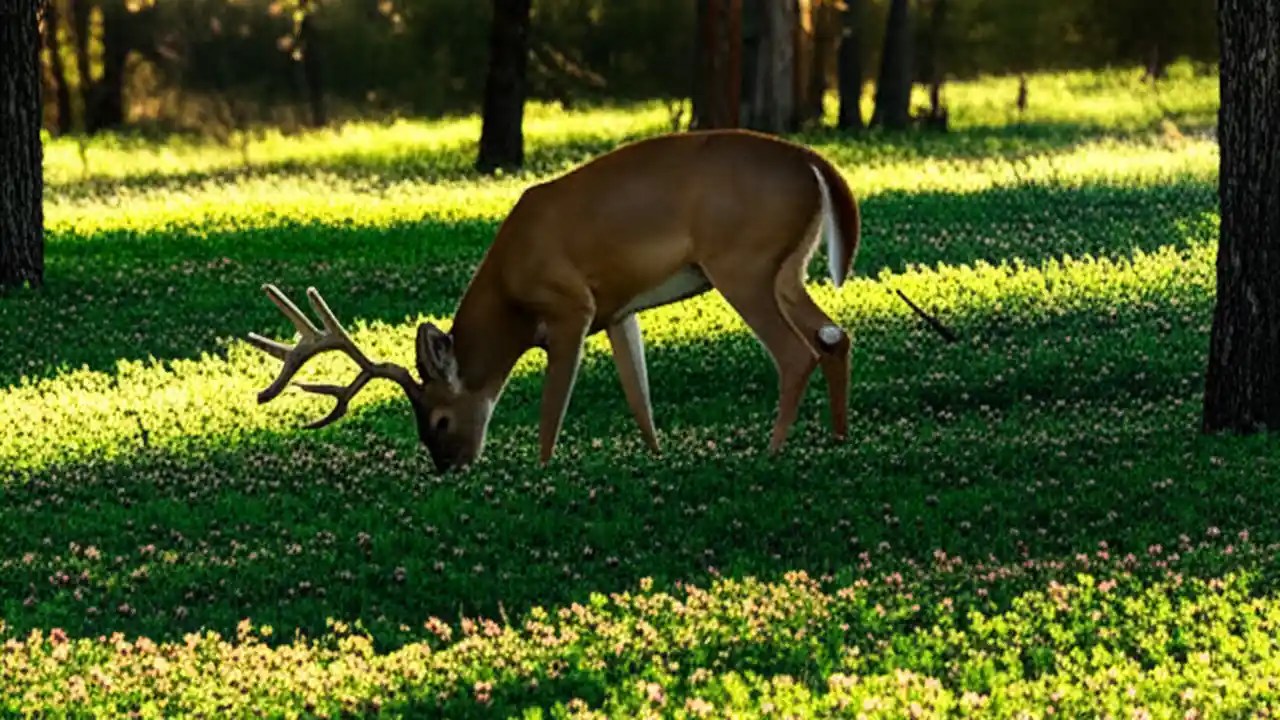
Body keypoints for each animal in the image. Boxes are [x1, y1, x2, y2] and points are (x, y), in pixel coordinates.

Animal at [246, 128, 861, 473]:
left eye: (440, 421)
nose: (448, 468)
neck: (511, 290)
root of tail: (816, 164)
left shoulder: (571, 308)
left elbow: (551, 412)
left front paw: (542, 473)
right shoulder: (618, 309)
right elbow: (639, 399)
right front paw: (657, 458)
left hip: (743, 261)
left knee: (797, 351)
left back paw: (773, 451)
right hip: (786, 267)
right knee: (835, 336)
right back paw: (837, 440)